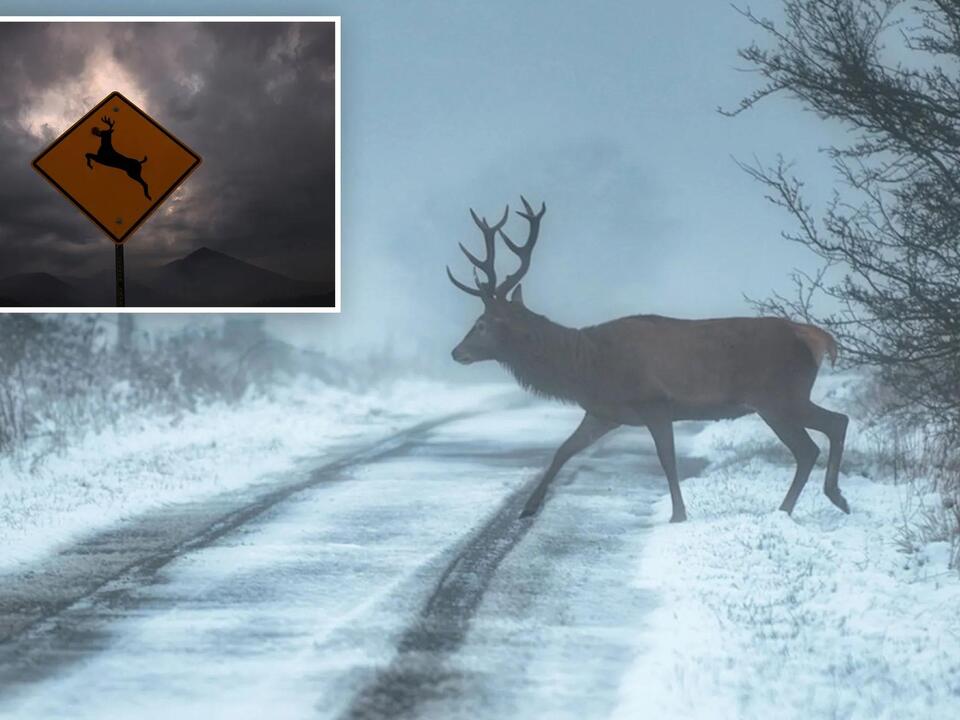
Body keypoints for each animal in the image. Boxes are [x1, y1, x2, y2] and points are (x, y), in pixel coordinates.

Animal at [448, 197, 850, 522]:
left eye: (482, 324)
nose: (456, 352)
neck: (586, 366)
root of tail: (813, 337)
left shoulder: (655, 402)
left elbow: (666, 460)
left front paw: (678, 515)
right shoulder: (604, 413)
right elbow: (563, 451)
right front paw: (528, 508)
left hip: (778, 396)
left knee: (824, 434)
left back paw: (811, 502)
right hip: (781, 399)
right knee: (822, 435)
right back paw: (819, 501)